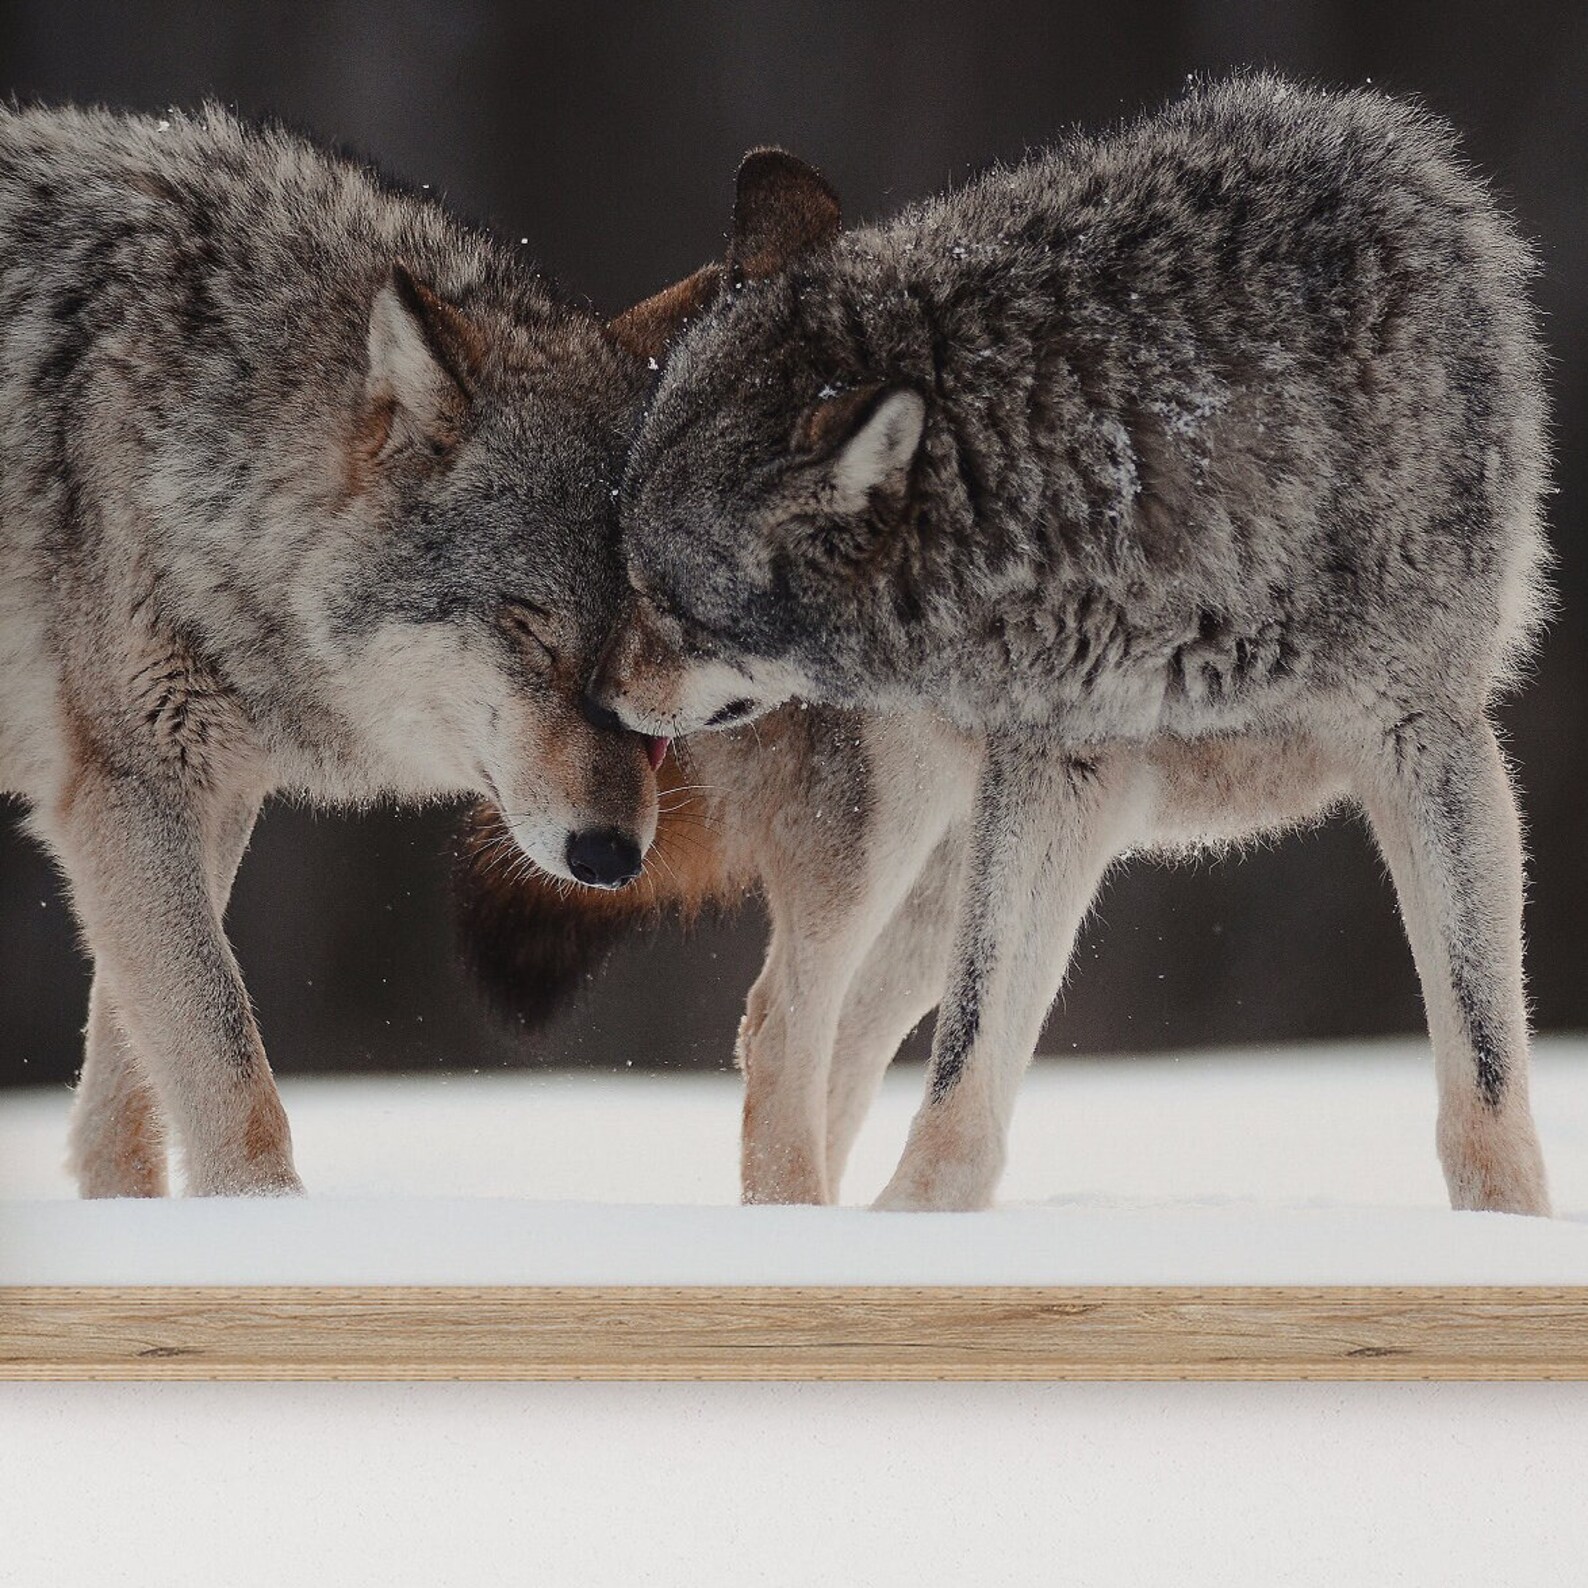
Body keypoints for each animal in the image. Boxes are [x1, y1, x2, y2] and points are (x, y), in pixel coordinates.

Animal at [0, 103, 695, 1197]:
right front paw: (263, 1223)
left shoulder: (206, 794)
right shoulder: (129, 786)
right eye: (530, 630)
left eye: (659, 666)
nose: (610, 856)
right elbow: (226, 1066)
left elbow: (130, 1082)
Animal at [575, 76, 1553, 1214]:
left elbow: (1483, 1070)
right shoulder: (1057, 767)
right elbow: (965, 1072)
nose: (593, 694)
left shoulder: (1429, 744)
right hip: (898, 833)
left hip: (946, 859)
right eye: (627, 571)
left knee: (833, 1033)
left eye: (664, 596)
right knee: (780, 1024)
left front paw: (1510, 1234)